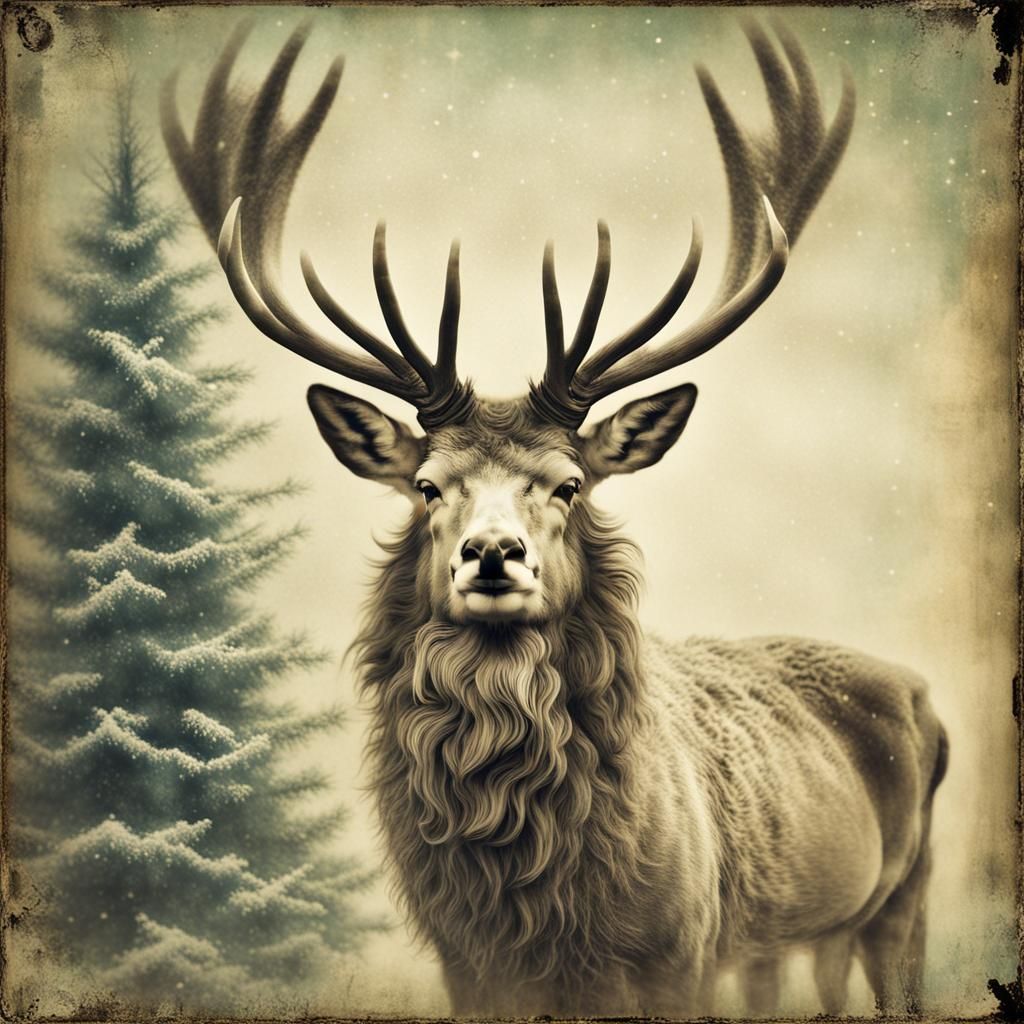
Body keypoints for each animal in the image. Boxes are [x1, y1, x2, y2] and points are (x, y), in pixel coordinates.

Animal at [161, 19, 948, 1019]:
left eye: (570, 484)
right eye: (428, 487)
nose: (493, 552)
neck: (537, 902)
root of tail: (921, 692)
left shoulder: (682, 948)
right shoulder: (465, 963)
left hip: (903, 897)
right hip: (792, 943)